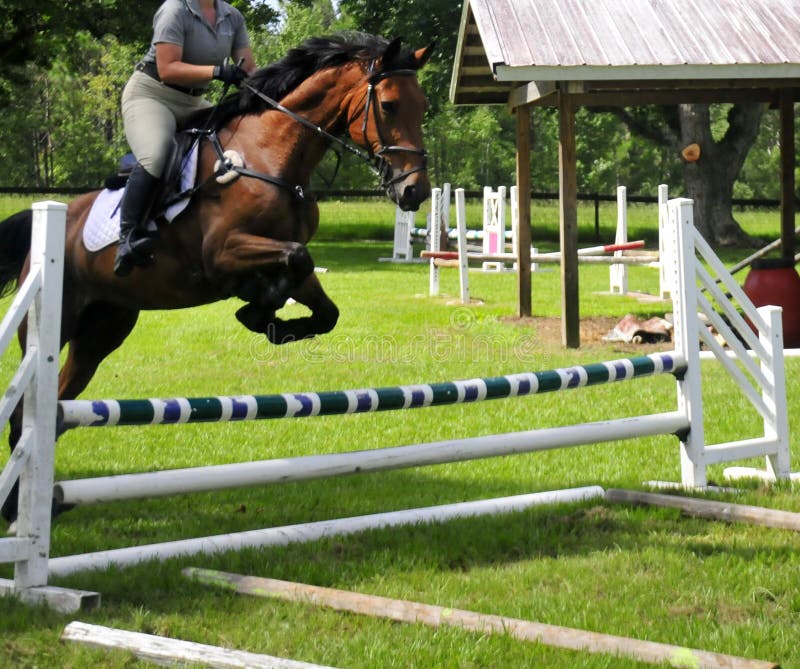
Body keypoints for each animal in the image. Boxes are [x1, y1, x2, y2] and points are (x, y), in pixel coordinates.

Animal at [0, 33, 433, 524]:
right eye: (390, 104)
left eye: (423, 105)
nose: (415, 191)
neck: (271, 157)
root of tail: (48, 225)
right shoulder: (221, 253)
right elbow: (297, 258)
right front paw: (259, 310)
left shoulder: (279, 258)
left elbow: (322, 305)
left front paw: (271, 319)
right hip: (58, 321)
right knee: (24, 411)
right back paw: (17, 509)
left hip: (104, 329)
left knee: (59, 400)